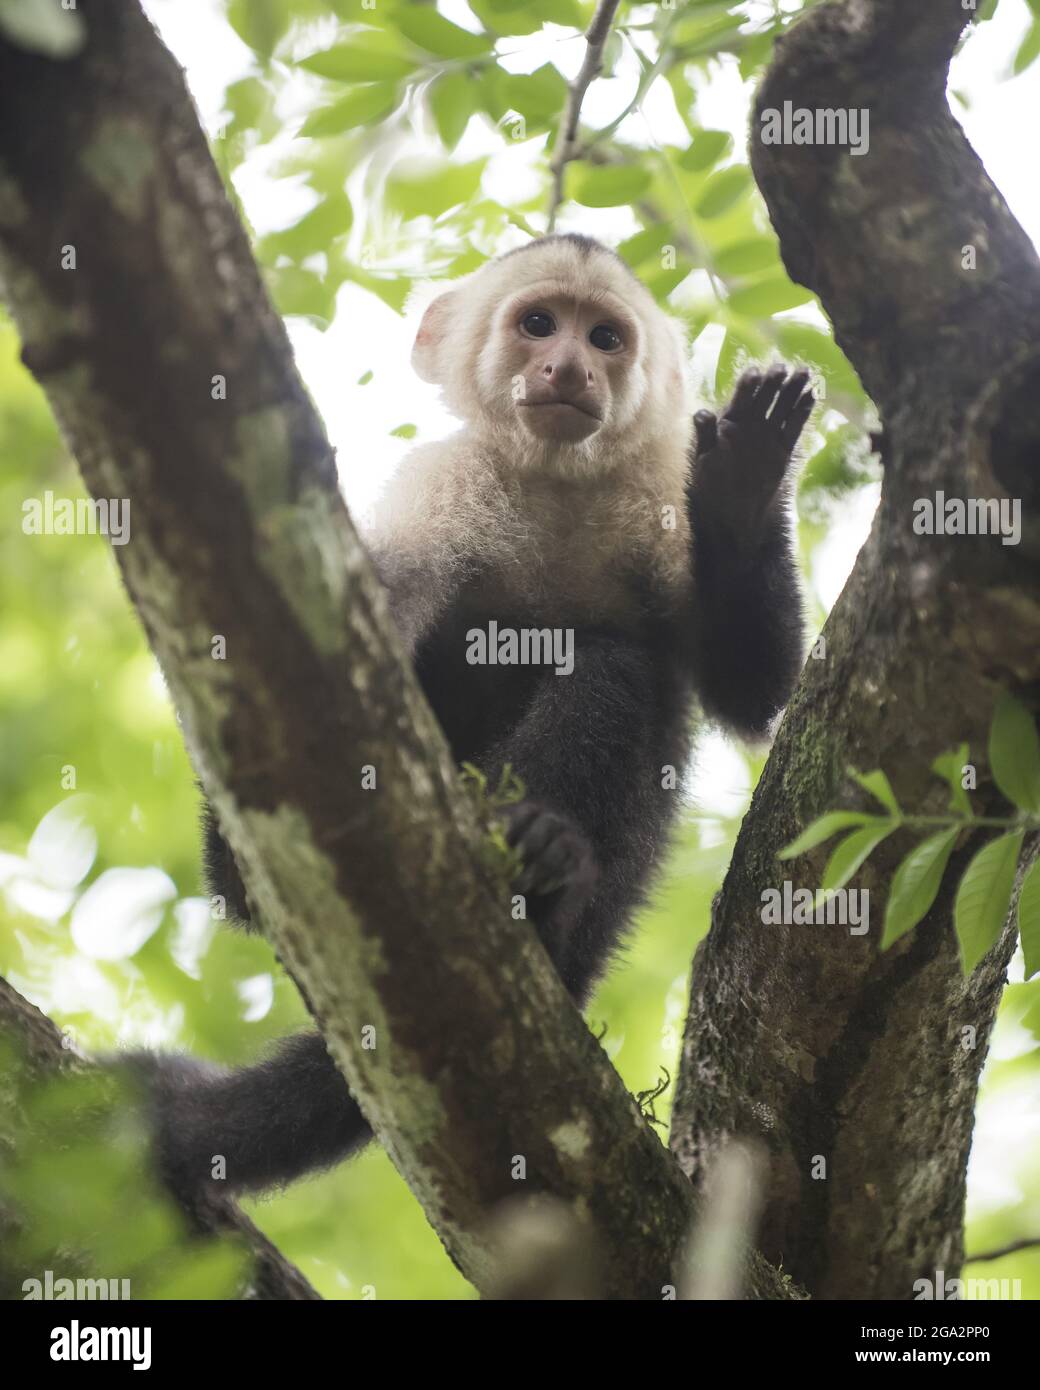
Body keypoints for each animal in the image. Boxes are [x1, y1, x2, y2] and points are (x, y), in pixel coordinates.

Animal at [129, 233, 814, 1204]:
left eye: (605, 338)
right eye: (539, 323)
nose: (567, 366)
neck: (556, 489)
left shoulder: (656, 506)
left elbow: (748, 689)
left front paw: (746, 488)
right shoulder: (444, 483)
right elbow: (370, 612)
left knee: (618, 669)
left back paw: (544, 872)